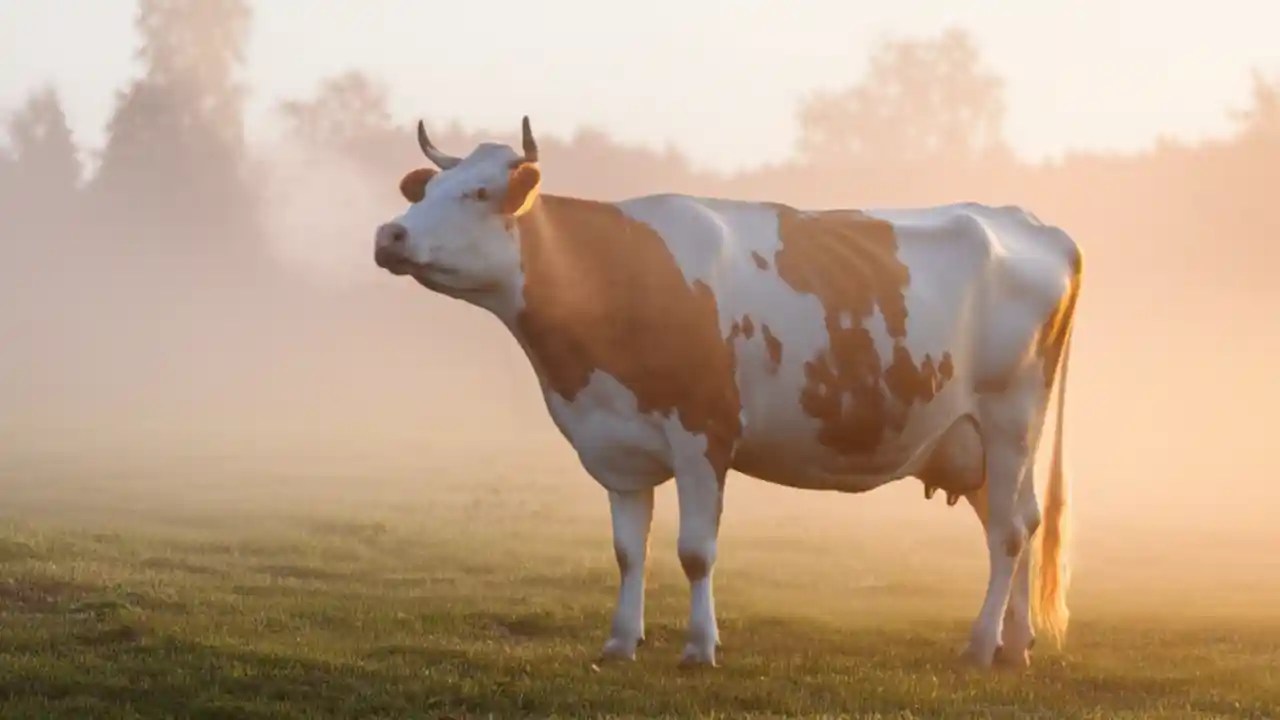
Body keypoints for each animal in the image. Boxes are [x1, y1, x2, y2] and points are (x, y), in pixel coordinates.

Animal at [373, 117, 1082, 670]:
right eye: (426, 189)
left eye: (479, 192)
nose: (389, 236)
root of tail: (1035, 225)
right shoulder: (616, 446)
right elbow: (628, 552)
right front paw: (620, 642)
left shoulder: (703, 436)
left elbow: (695, 552)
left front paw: (699, 647)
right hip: (973, 442)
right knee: (1020, 520)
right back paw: (1015, 644)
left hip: (1010, 419)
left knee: (1008, 533)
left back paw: (981, 644)